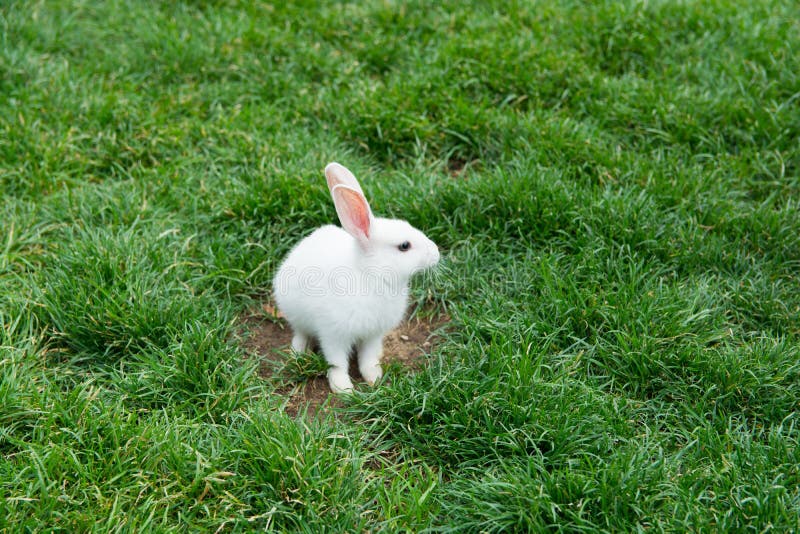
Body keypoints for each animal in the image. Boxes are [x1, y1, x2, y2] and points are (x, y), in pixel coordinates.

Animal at [273, 162, 440, 393]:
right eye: (404, 246)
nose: (436, 252)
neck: (372, 275)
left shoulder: (373, 335)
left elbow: (367, 358)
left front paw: (374, 378)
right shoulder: (333, 335)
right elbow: (336, 362)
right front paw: (343, 389)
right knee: (301, 331)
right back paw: (300, 350)